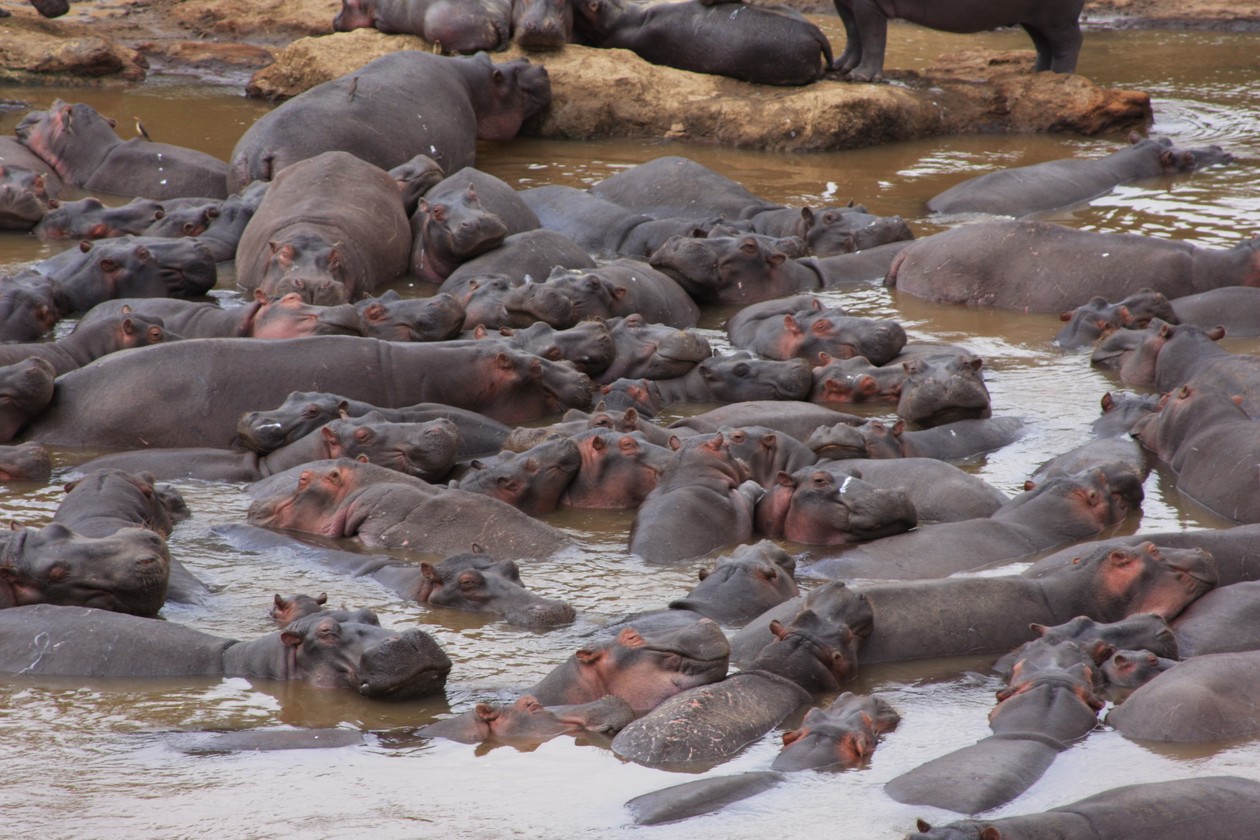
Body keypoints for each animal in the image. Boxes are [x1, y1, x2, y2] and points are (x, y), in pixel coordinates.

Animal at [833, 0, 1085, 82]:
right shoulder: (845, 2)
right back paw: (1040, 74)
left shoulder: (868, 5)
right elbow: (853, 32)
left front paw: (861, 77)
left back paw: (1062, 76)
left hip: (1058, 18)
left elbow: (871, 36)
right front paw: (840, 67)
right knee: (1044, 44)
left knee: (1069, 41)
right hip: (1033, 18)